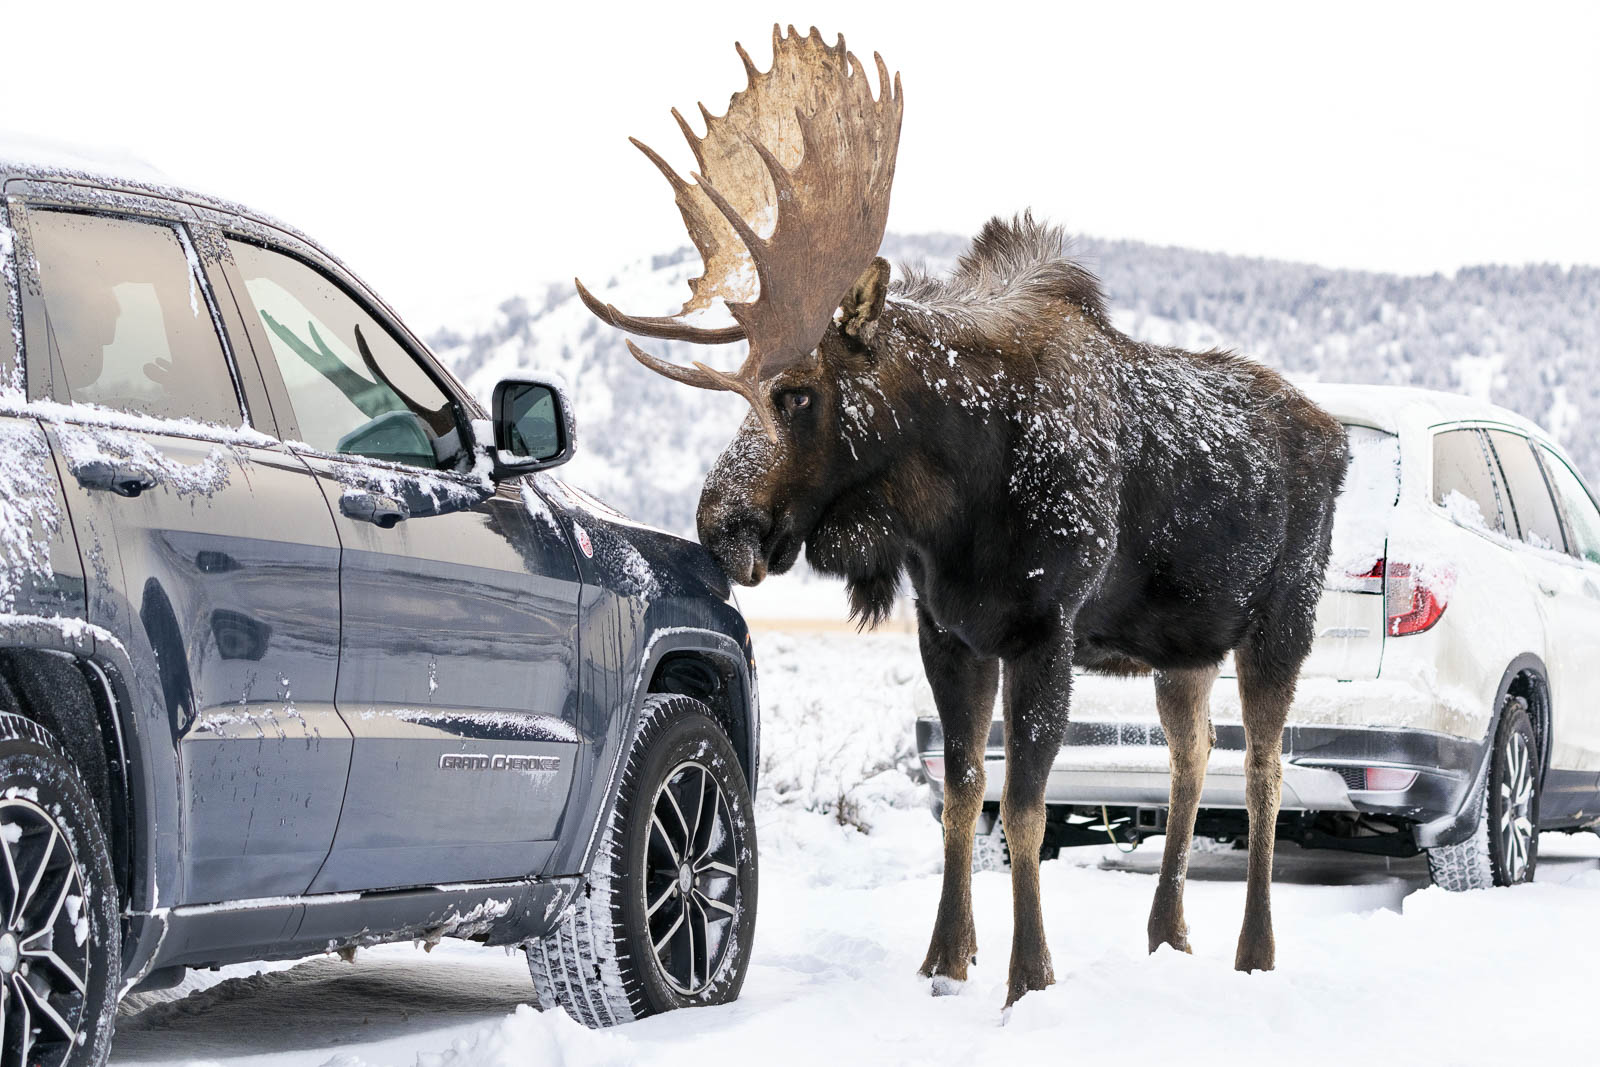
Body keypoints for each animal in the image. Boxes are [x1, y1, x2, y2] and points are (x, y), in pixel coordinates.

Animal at [576, 25, 1349, 1010]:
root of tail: (1338, 434)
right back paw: (1167, 934)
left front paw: (1030, 976)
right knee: (1190, 760)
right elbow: (958, 794)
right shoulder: (947, 630)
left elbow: (1020, 809)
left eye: (796, 392)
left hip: (1284, 617)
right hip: (1184, 647)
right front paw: (946, 960)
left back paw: (1255, 948)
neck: (953, 502)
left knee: (1263, 770)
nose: (719, 523)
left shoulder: (1044, 628)